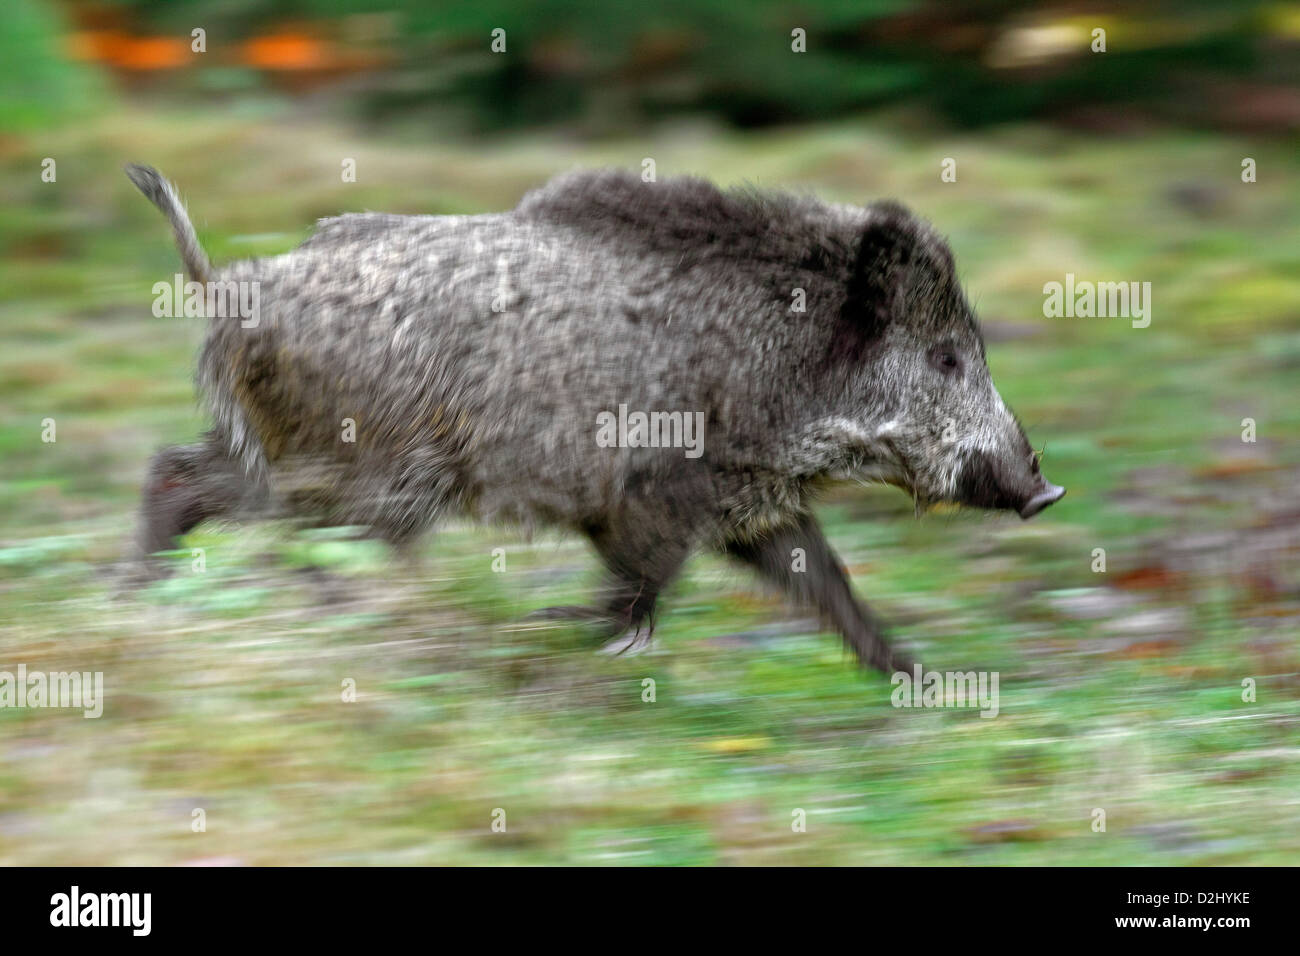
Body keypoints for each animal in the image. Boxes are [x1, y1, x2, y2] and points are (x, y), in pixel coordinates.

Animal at [125, 164, 1064, 674]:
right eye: (946, 358)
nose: (1045, 490)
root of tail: (232, 282)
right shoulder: (652, 497)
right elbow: (639, 596)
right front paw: (551, 632)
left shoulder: (754, 506)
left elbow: (830, 586)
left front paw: (919, 678)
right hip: (363, 473)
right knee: (268, 524)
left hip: (282, 455)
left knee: (178, 472)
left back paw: (136, 602)